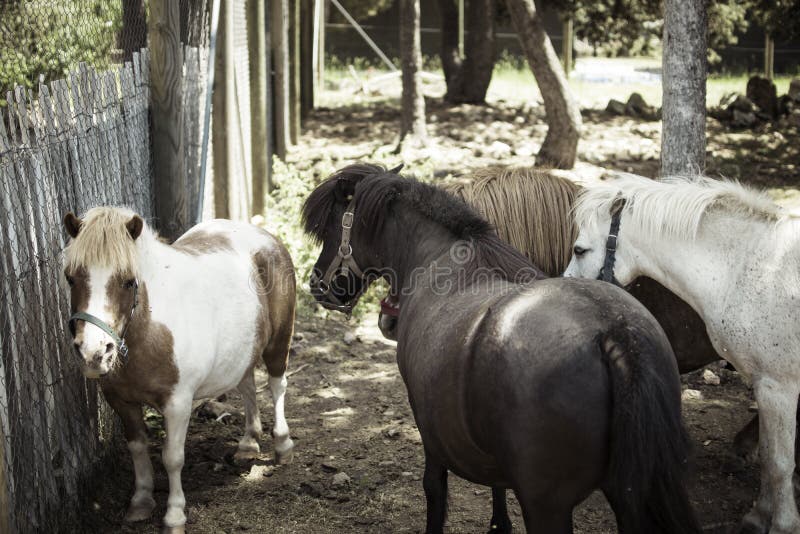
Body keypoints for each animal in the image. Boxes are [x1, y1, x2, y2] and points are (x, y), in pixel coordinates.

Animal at [62, 207, 296, 533]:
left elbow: (172, 457)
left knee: (276, 386)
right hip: (243, 351)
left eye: (128, 281)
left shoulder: (178, 403)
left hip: (278, 343)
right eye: (71, 278)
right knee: (247, 385)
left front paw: (174, 516)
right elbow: (138, 448)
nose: (94, 353)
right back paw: (248, 444)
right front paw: (141, 502)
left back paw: (283, 446)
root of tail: (265, 237)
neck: (150, 329)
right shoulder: (122, 402)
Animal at [303, 164, 700, 533]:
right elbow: (496, 484)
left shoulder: (429, 430)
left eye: (331, 227)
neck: (440, 262)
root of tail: (613, 332)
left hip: (547, 506)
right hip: (625, 492)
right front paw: (499, 524)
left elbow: (434, 490)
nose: (318, 284)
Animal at [564, 174, 800, 534]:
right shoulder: (766, 386)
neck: (750, 266)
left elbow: (779, 462)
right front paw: (760, 514)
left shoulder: (778, 386)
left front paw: (783, 523)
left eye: (580, 250)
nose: (568, 290)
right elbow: (769, 455)